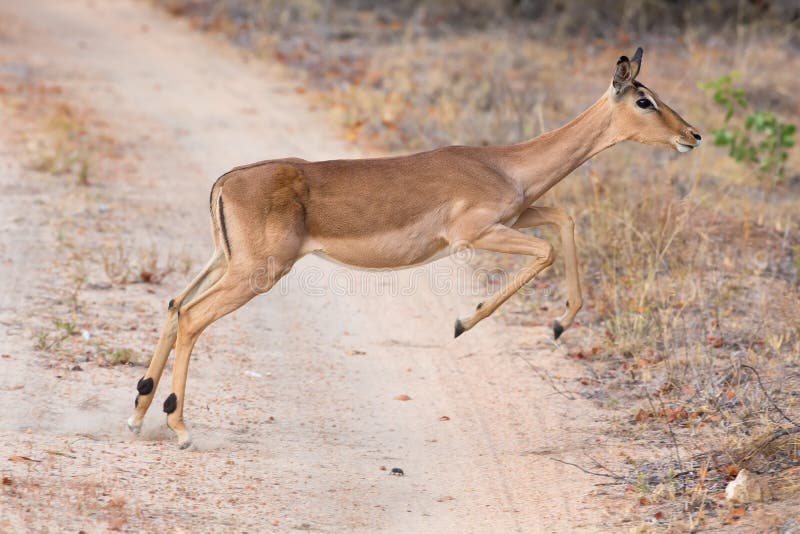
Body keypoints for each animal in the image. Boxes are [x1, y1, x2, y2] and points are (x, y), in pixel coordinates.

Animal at [128, 47, 701, 448]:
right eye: (644, 99)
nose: (692, 135)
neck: (505, 166)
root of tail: (225, 180)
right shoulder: (475, 233)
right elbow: (546, 252)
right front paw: (464, 321)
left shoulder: (519, 215)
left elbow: (566, 220)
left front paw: (558, 324)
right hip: (257, 272)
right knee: (192, 316)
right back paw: (179, 428)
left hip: (225, 260)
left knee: (174, 304)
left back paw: (138, 416)